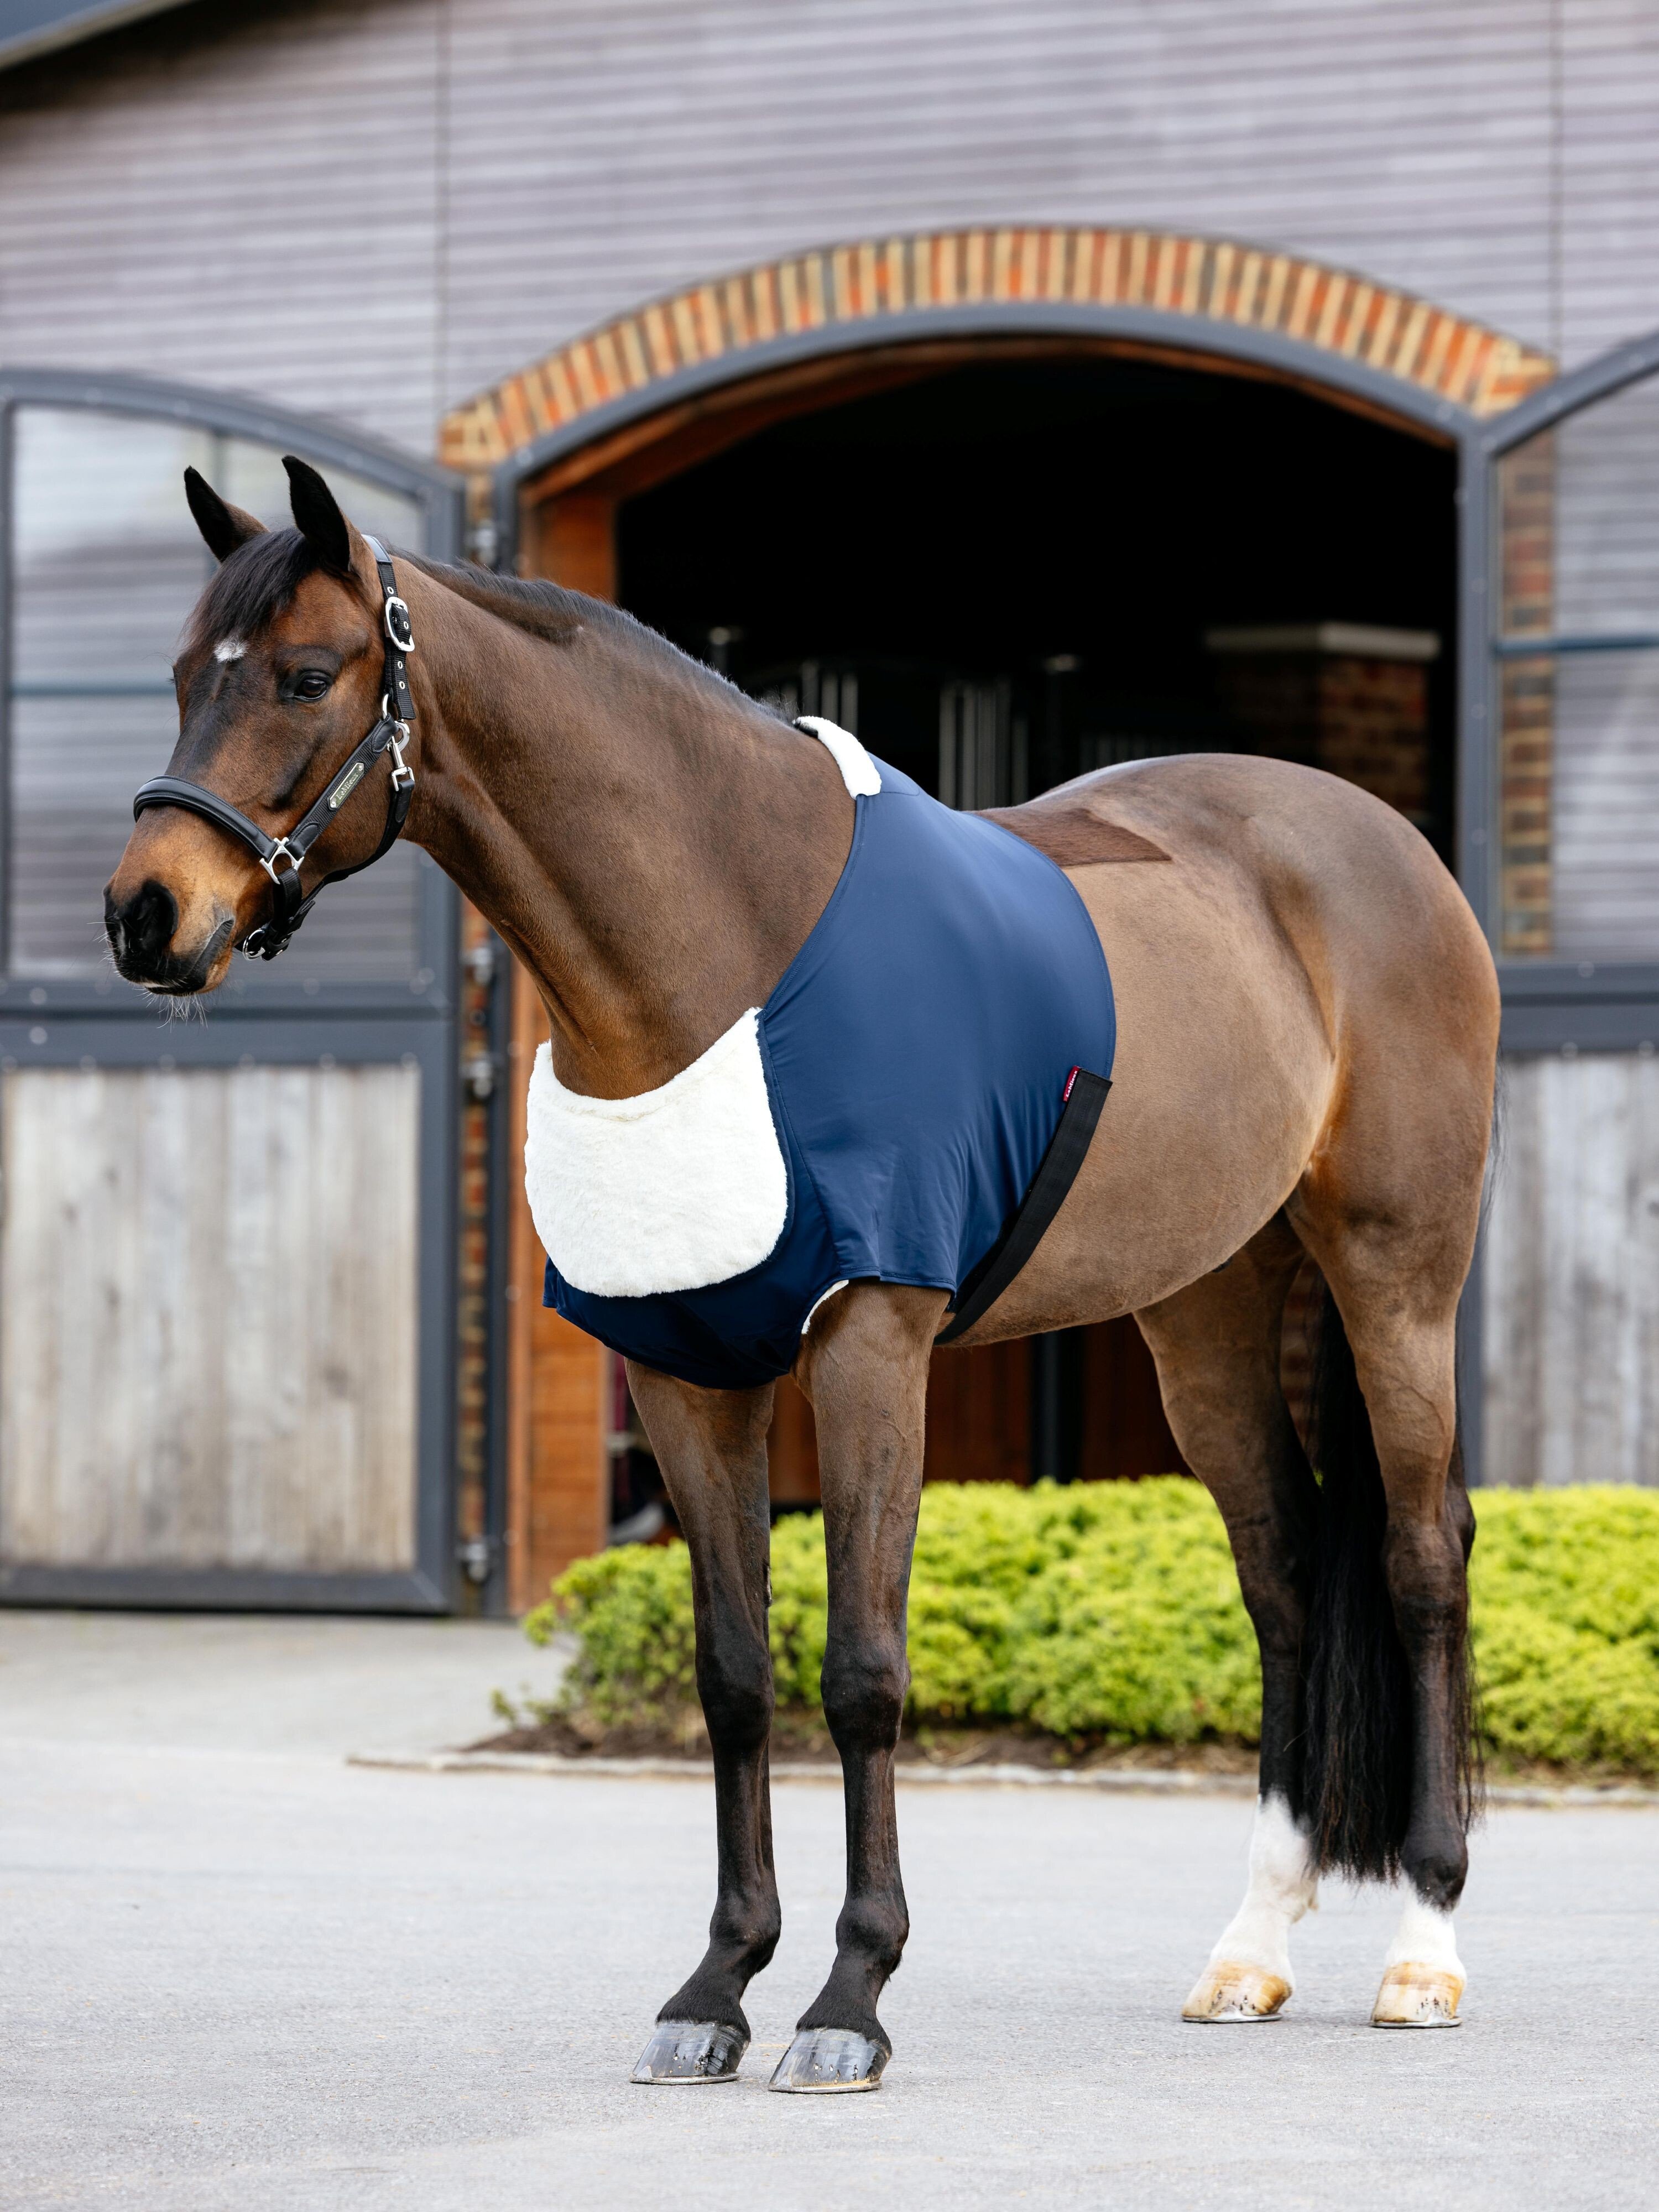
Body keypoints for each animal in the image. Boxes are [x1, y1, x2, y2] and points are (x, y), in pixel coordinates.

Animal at [106, 458, 1497, 2092]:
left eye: (308, 676)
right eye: (183, 675)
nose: (145, 915)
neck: (731, 939)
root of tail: (1381, 845)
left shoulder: (869, 1346)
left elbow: (862, 1672)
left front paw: (849, 1998)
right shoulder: (681, 1370)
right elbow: (731, 1678)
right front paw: (714, 1988)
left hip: (1397, 1274)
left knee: (1418, 1557)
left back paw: (1425, 1949)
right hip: (1203, 1306)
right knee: (1278, 1572)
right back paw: (1249, 1948)